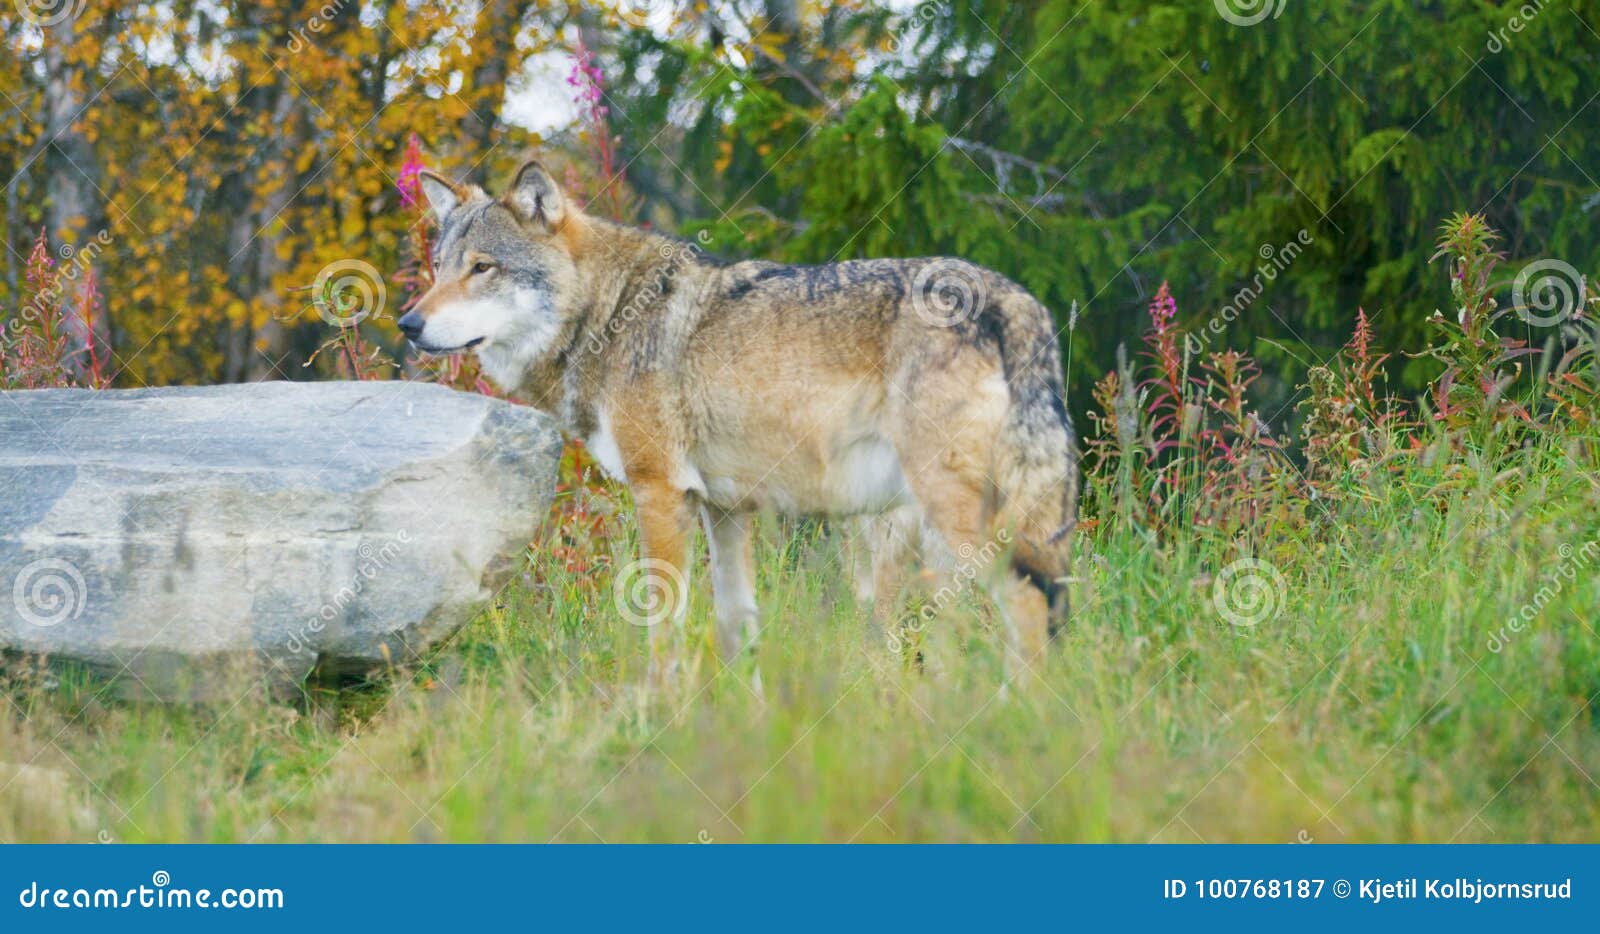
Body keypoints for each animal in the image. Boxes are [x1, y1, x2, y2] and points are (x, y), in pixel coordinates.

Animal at [401, 159, 1078, 676]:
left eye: (482, 267)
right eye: (439, 267)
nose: (408, 324)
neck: (607, 314)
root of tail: (1012, 298)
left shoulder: (660, 493)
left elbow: (664, 626)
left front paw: (659, 715)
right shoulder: (726, 509)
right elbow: (737, 626)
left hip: (958, 520)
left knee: (1025, 608)